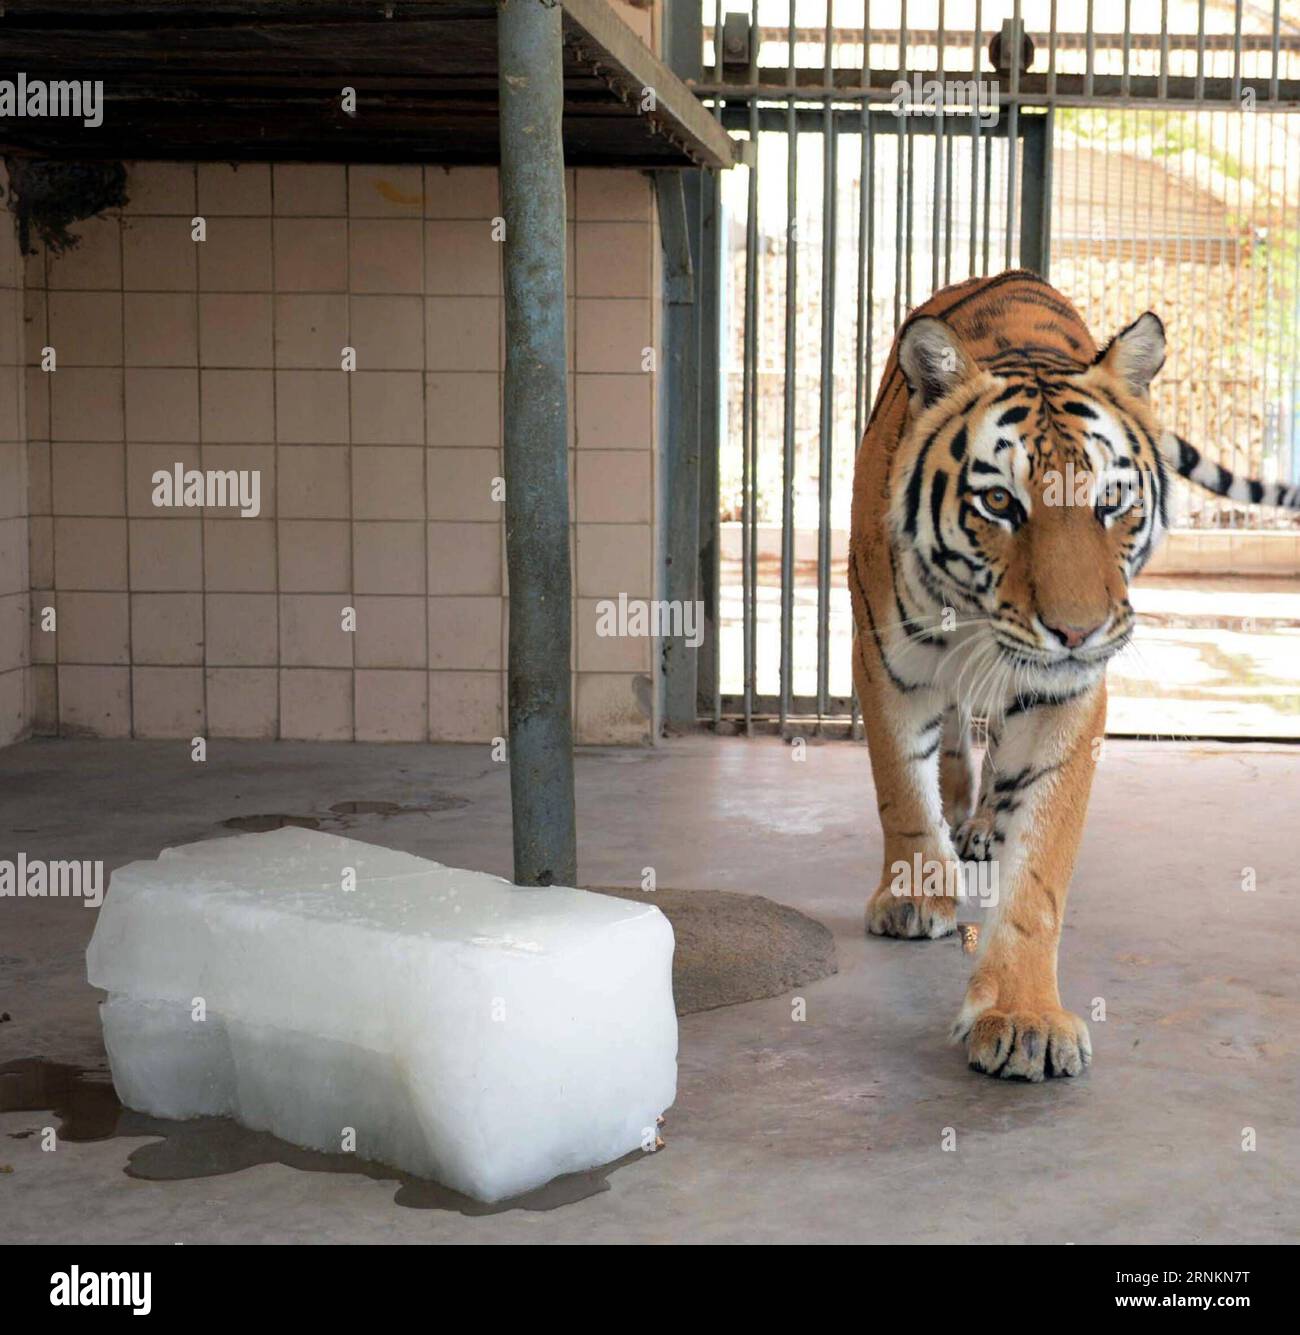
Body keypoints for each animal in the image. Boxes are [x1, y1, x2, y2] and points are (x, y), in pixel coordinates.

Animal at [848, 269, 1299, 1082]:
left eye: (1110, 501)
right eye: (1000, 501)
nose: (1078, 631)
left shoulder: (1067, 694)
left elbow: (1042, 861)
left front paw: (1022, 1017)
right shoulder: (884, 655)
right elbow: (901, 787)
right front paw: (916, 897)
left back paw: (985, 824)